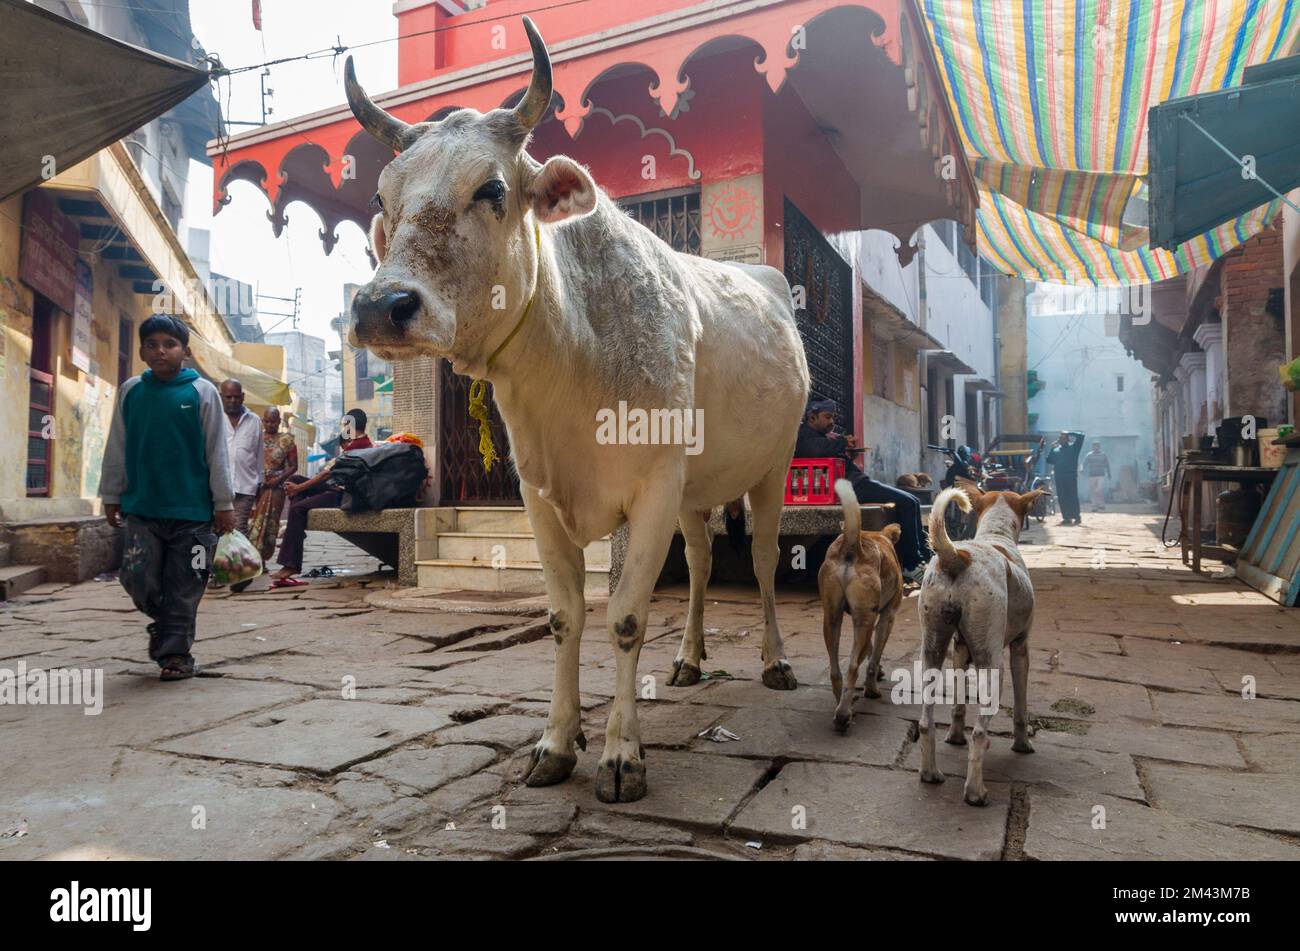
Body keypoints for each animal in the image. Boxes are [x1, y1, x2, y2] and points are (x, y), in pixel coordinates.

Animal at [345, 17, 810, 802]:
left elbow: (624, 619)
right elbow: (565, 617)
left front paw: (623, 754)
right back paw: (690, 658)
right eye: (382, 198)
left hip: (772, 466)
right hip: (695, 488)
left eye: (492, 188)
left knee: (767, 559)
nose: (381, 306)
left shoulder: (652, 491)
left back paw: (777, 661)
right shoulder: (541, 495)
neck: (571, 354)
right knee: (704, 560)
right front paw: (557, 742)